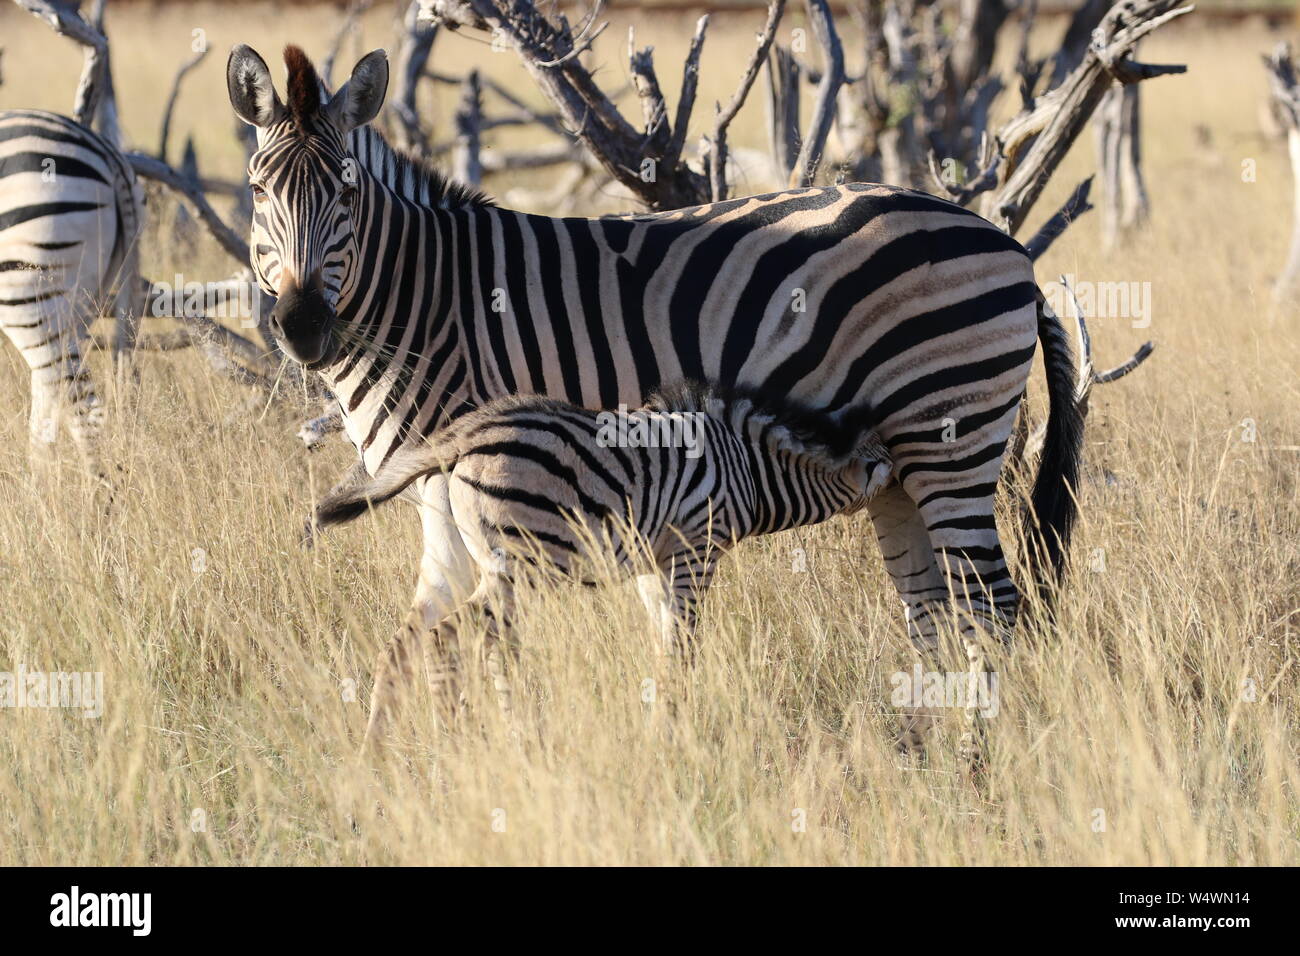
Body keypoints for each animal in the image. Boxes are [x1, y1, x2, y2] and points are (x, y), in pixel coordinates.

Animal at [310, 382, 893, 737]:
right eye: (893, 464)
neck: (748, 468)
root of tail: (466, 436)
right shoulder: (697, 550)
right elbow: (683, 646)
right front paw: (675, 731)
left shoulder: (657, 561)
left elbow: (663, 641)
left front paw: (665, 717)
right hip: (522, 565)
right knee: (453, 638)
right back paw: (463, 741)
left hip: (456, 560)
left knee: (411, 643)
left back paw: (383, 751)